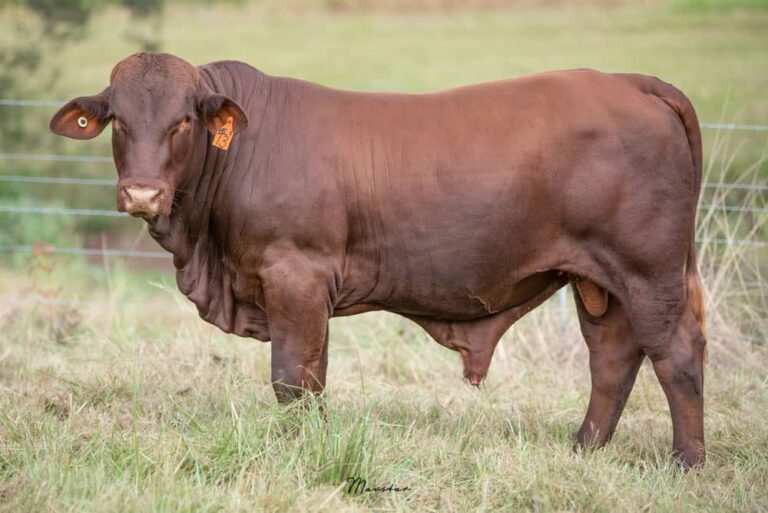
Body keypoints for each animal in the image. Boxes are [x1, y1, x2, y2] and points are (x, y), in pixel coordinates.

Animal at [50, 52, 707, 468]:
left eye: (184, 120)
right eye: (118, 121)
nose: (141, 193)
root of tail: (630, 81)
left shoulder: (296, 274)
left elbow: (291, 377)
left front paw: (301, 448)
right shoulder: (308, 292)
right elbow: (312, 374)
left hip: (649, 273)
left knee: (675, 355)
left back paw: (686, 463)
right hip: (599, 282)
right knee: (613, 358)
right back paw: (584, 448)